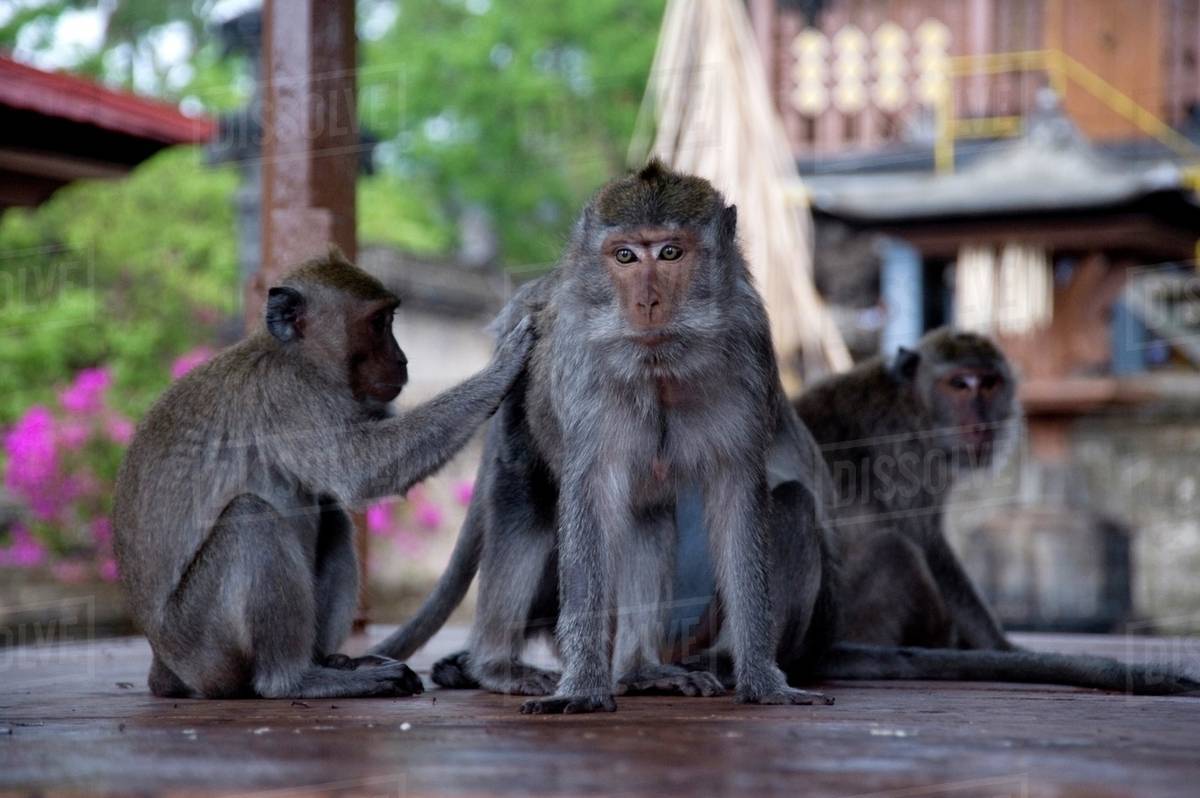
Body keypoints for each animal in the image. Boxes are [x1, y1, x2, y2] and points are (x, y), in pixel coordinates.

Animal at [112, 249, 534, 700]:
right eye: (379, 323)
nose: (402, 360)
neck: (294, 355)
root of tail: (164, 665)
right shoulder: (293, 396)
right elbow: (360, 470)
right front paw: (501, 368)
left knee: (332, 518)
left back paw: (329, 661)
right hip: (202, 646)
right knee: (249, 520)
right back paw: (293, 679)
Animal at [372, 161, 837, 713]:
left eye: (670, 252)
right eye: (625, 256)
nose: (647, 300)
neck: (661, 364)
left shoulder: (749, 355)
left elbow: (736, 499)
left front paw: (763, 680)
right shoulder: (582, 368)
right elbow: (589, 501)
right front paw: (582, 687)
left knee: (650, 515)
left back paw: (638, 670)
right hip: (518, 410)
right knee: (526, 505)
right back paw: (495, 665)